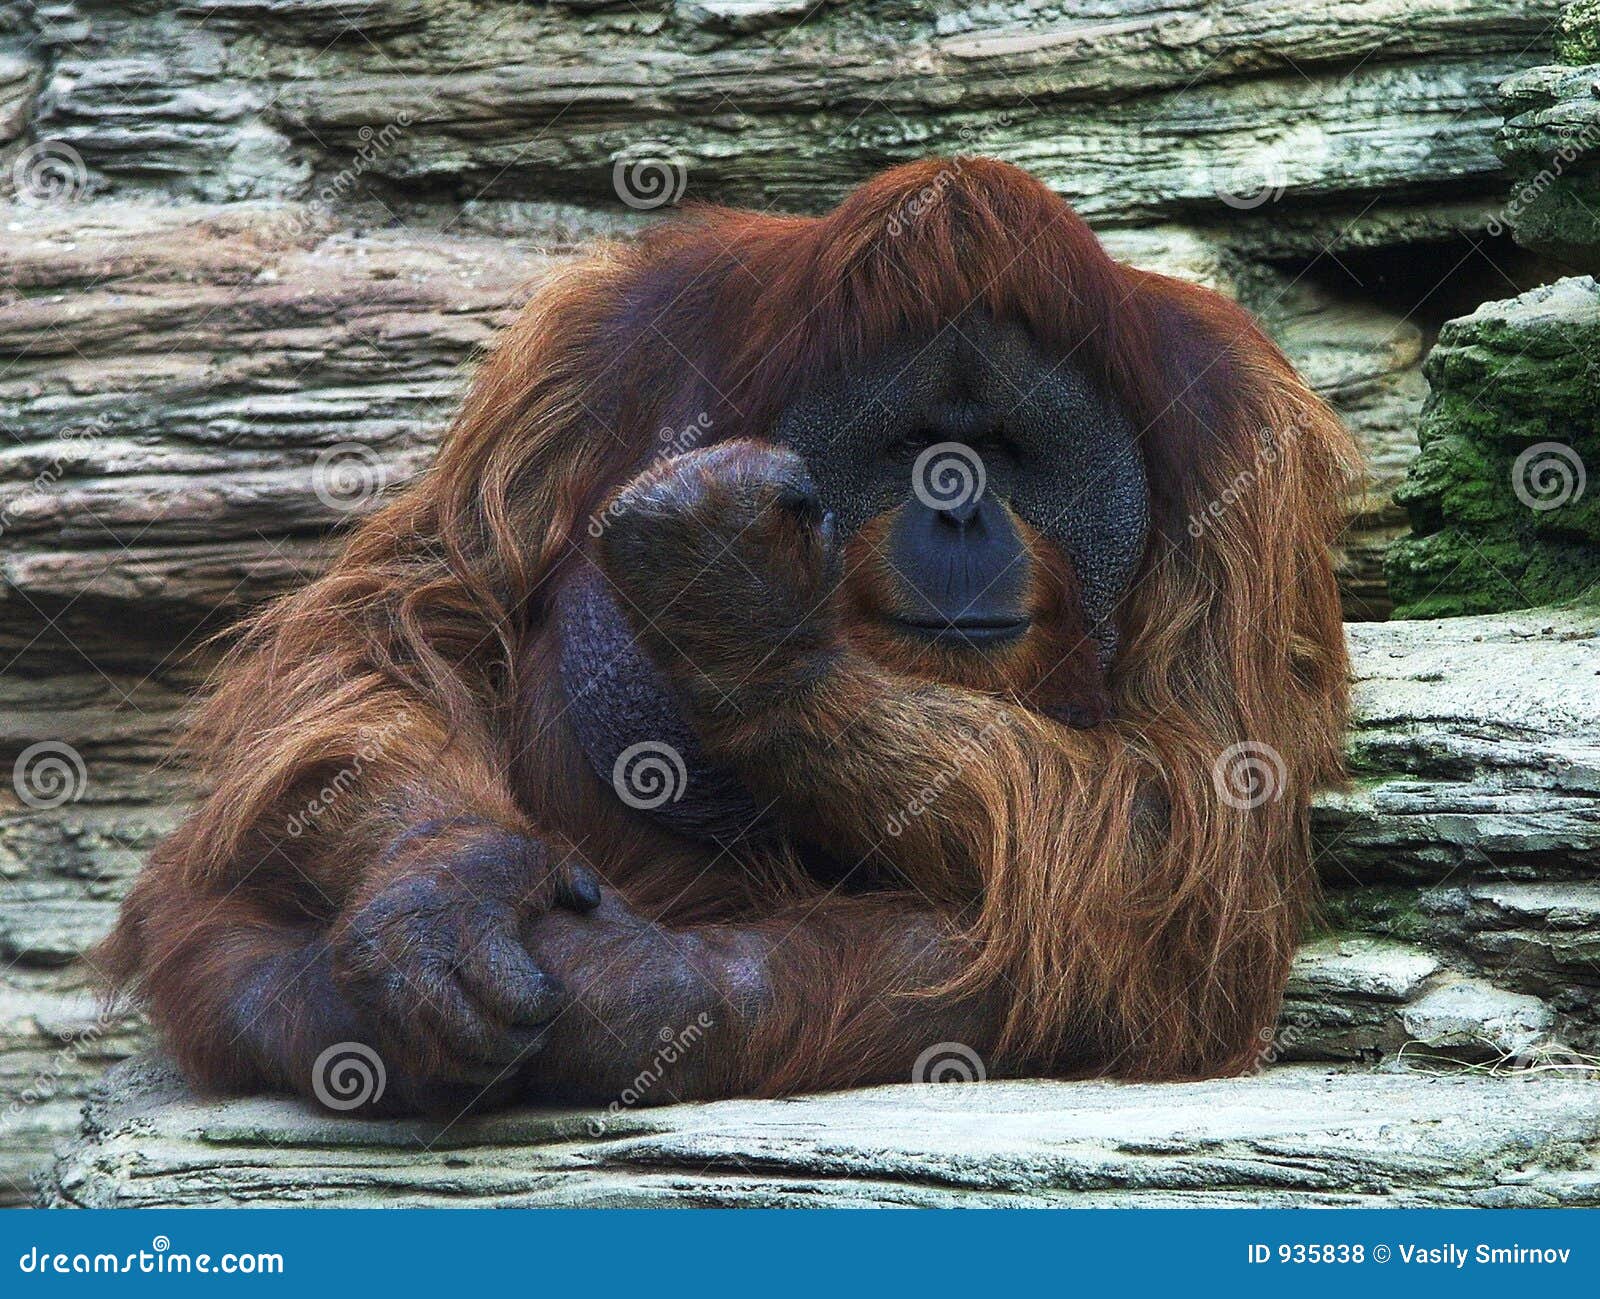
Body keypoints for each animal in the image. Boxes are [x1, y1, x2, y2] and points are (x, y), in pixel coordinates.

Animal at [101, 157, 1357, 1114]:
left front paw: (743, 623)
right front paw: (443, 886)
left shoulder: (1240, 433)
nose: (956, 507)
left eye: (1001, 451)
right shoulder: (597, 344)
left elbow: (1192, 805)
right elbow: (410, 624)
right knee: (222, 885)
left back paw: (645, 993)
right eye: (915, 448)